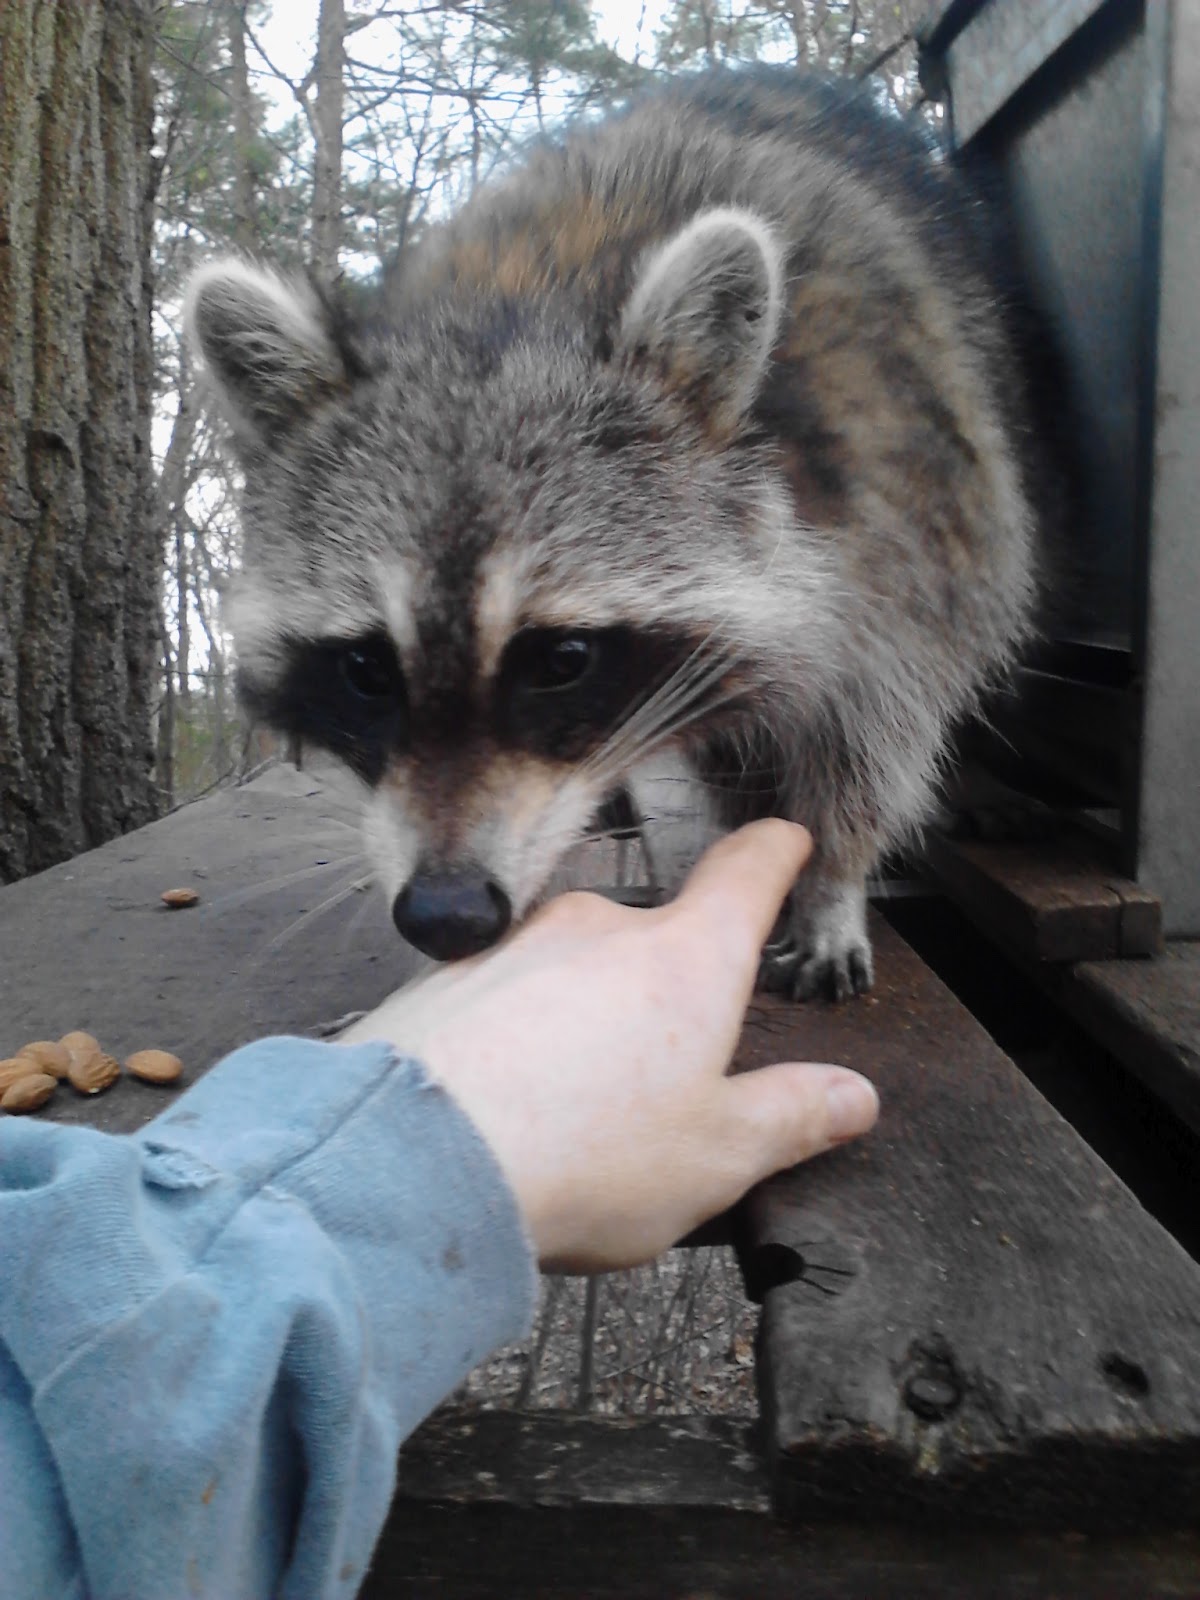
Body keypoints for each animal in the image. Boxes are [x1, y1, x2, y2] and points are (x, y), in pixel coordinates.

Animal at [185, 68, 1040, 1000]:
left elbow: (882, 714)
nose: (447, 913)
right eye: (367, 670)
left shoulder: (901, 492)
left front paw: (829, 874)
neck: (518, 298)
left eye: (564, 660)